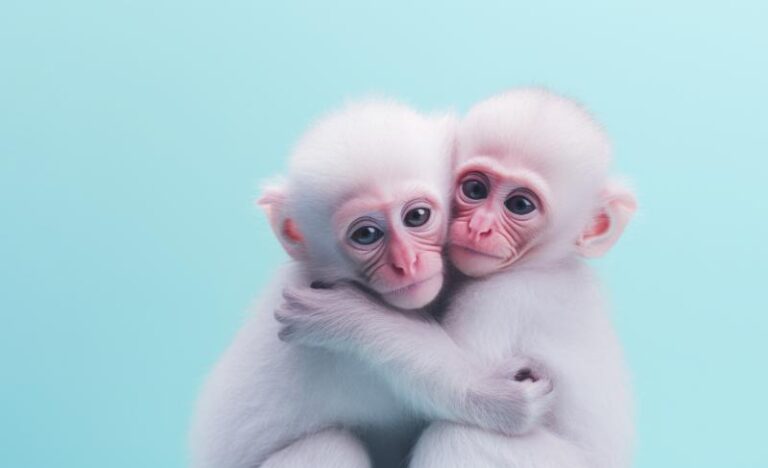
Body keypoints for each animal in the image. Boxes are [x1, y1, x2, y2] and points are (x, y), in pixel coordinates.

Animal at [190, 99, 555, 468]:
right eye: (366, 234)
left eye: (417, 217)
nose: (407, 262)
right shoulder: (328, 342)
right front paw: (496, 394)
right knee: (327, 446)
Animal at [275, 89, 637, 468]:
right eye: (475, 189)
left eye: (520, 205)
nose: (479, 228)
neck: (547, 261)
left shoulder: (504, 296)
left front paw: (345, 318)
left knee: (460, 436)